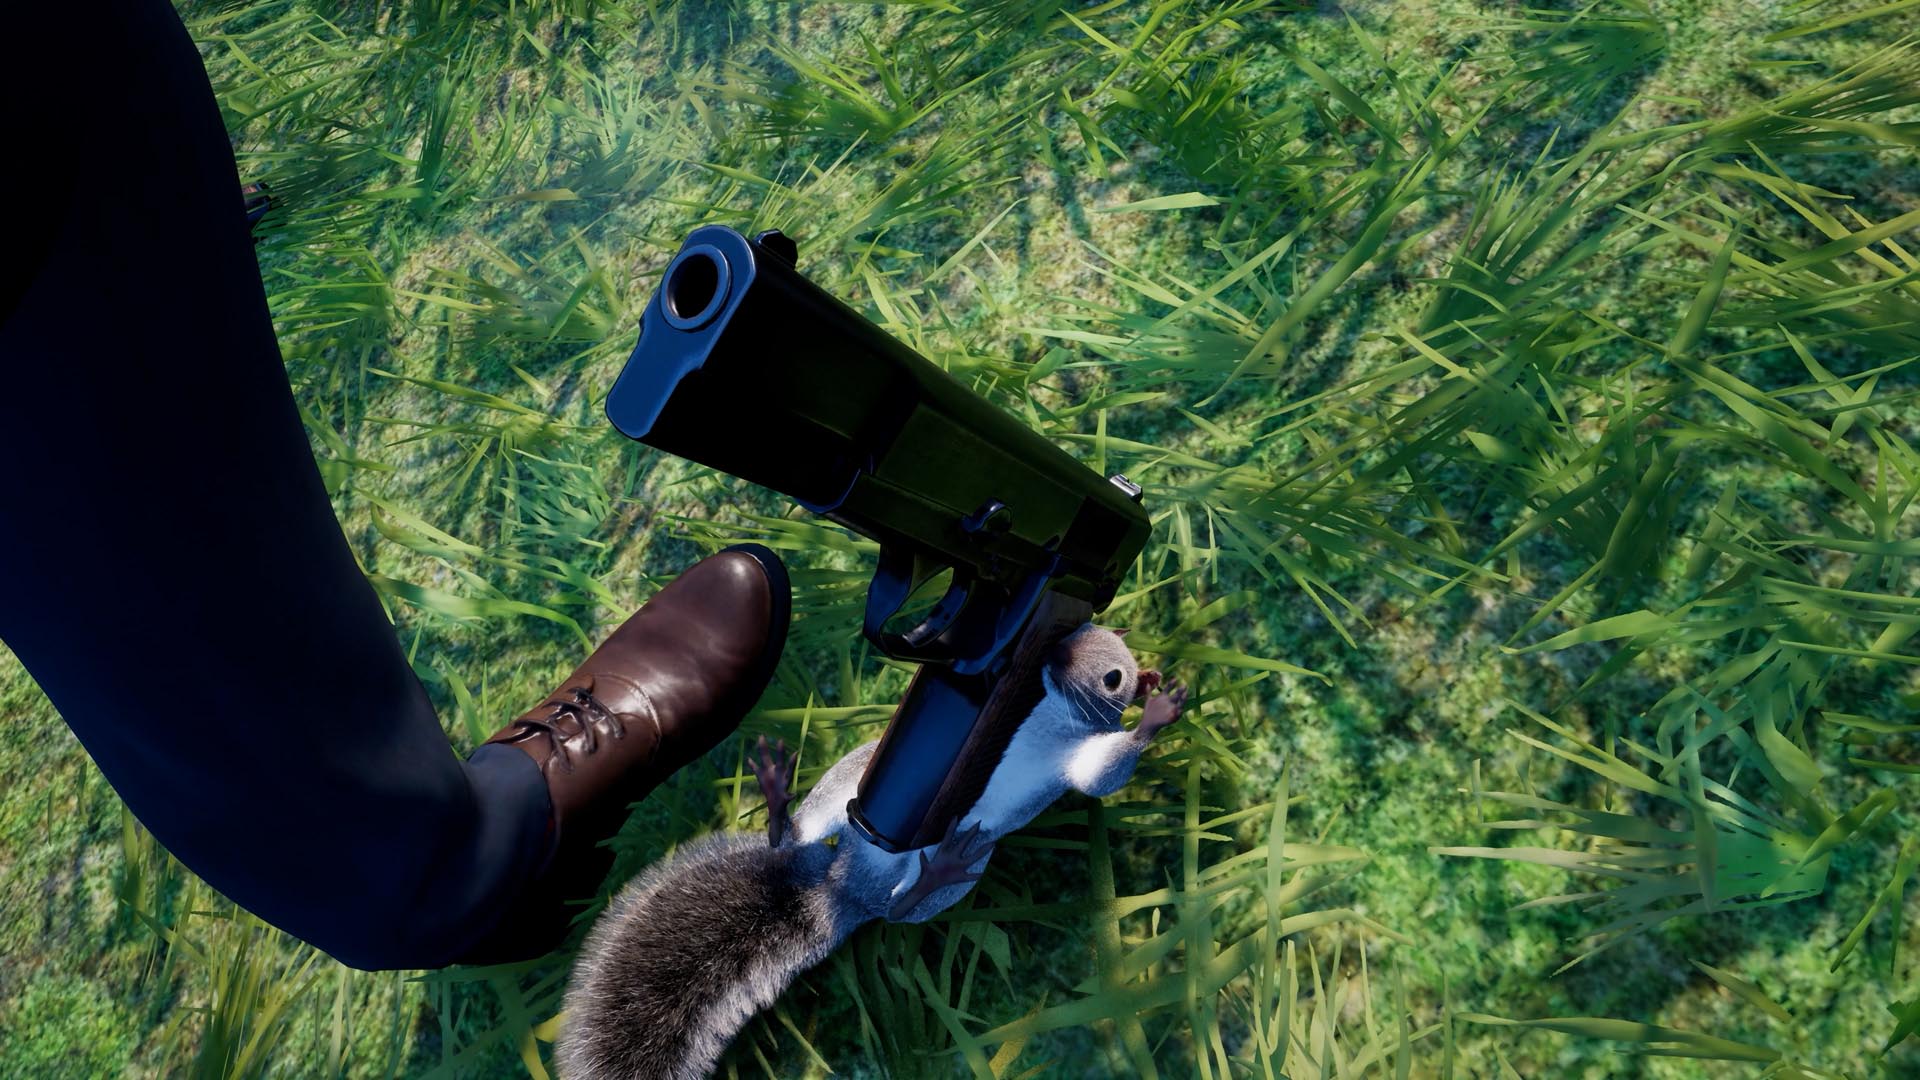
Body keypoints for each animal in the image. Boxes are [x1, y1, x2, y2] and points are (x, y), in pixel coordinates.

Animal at [553, 623, 1188, 1080]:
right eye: (1083, 632)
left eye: (1115, 678)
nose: (1055, 655)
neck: (1050, 717)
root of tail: (841, 893)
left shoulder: (1078, 763)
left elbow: (1104, 777)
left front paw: (1156, 717)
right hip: (860, 784)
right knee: (808, 833)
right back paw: (779, 800)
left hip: (960, 868)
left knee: (902, 907)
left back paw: (936, 871)